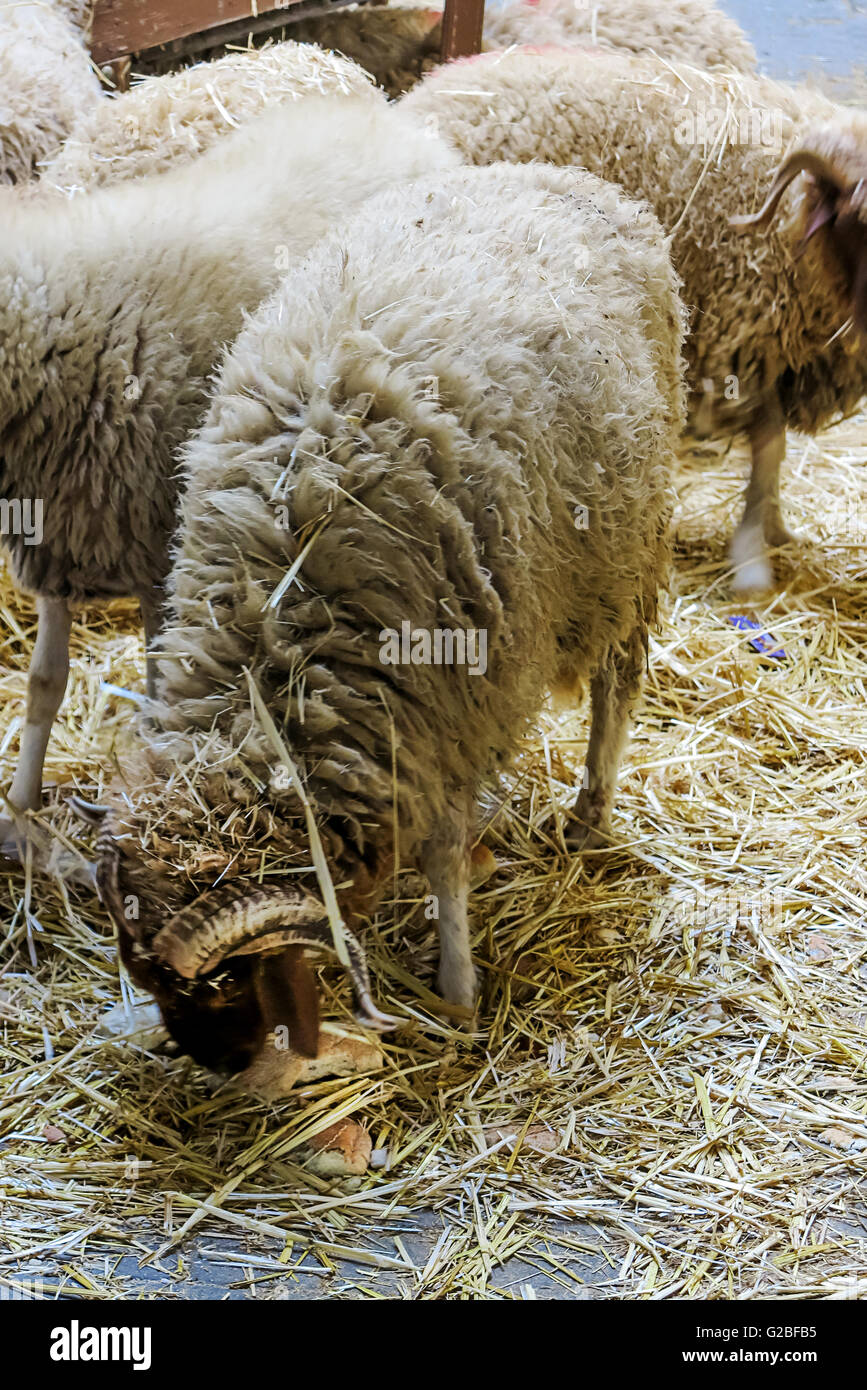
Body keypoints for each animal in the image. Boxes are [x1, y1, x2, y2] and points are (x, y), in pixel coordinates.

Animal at [0, 94, 458, 856]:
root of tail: (390, 118)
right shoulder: (60, 536)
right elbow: (44, 682)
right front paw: (21, 805)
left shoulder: (158, 546)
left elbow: (159, 680)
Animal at [90, 160, 686, 1076]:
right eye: (143, 972)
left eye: (224, 983)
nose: (217, 1063)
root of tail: (564, 173)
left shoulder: (452, 705)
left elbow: (443, 857)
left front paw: (457, 985)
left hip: (627, 549)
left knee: (617, 685)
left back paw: (589, 813)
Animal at [402, 48, 867, 590]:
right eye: (860, 216)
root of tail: (429, 88)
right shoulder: (746, 343)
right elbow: (768, 445)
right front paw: (752, 555)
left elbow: (771, 451)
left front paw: (774, 530)